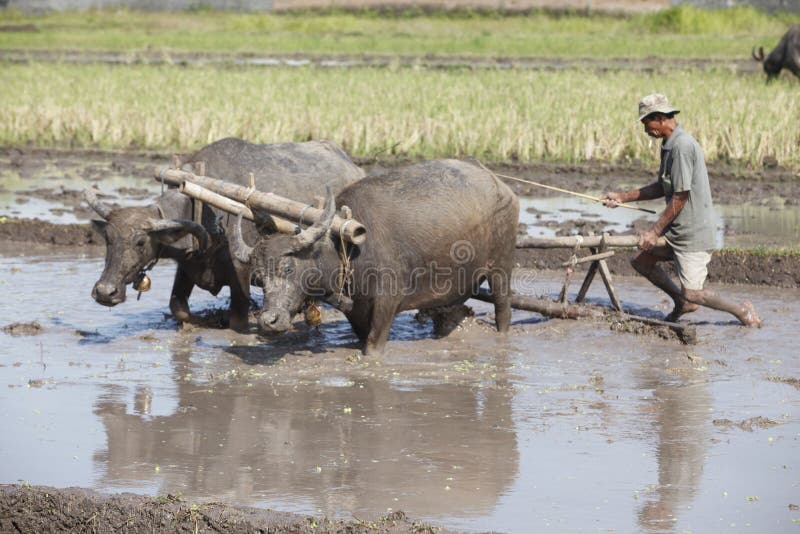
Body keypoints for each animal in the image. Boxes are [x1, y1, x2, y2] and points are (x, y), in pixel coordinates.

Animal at [86, 137, 364, 330]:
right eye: (108, 239)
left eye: (141, 241)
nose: (105, 292)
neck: (202, 204)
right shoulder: (188, 264)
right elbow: (178, 308)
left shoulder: (241, 272)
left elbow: (237, 320)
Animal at [231, 159, 519, 355]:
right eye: (259, 278)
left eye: (289, 268)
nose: (269, 321)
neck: (346, 248)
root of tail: (503, 188)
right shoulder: (356, 310)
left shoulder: (387, 303)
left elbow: (372, 346)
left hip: (501, 269)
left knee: (503, 311)